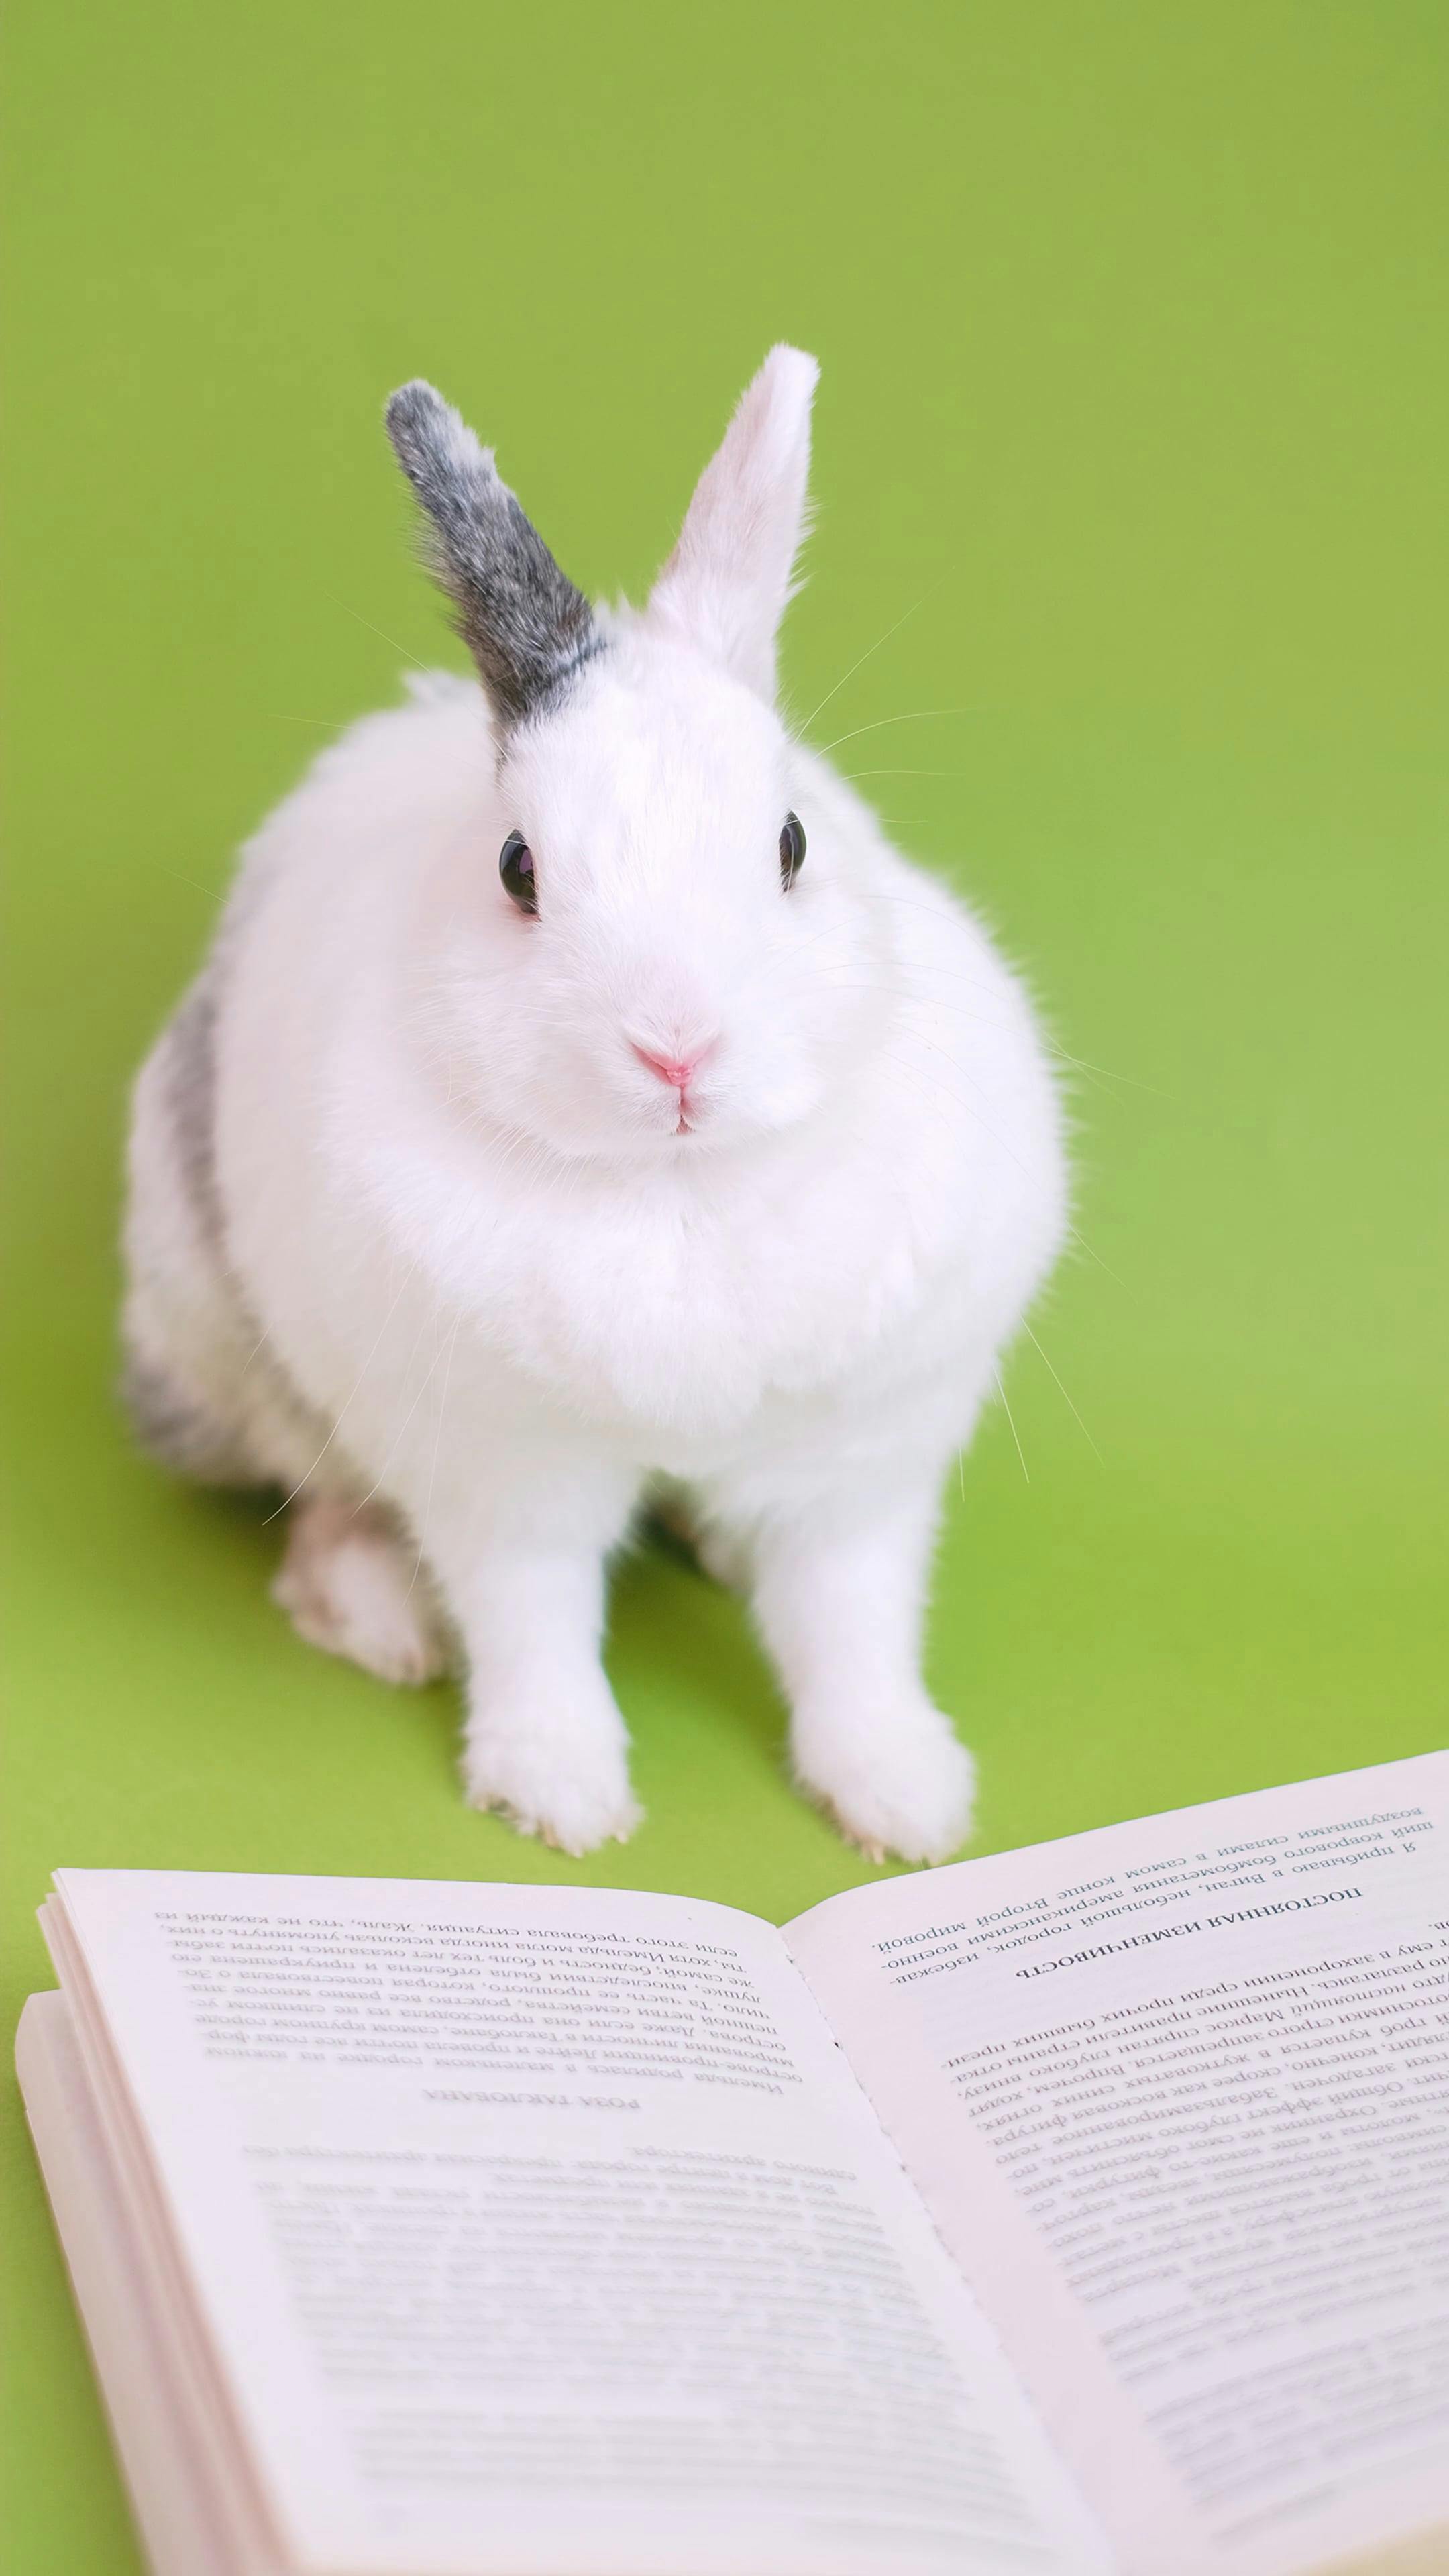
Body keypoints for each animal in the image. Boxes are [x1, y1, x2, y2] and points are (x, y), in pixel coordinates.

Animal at [122, 346, 1066, 1863]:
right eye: (519, 869)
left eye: (794, 841)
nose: (677, 1050)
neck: (678, 1186)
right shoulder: (503, 1473)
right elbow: (534, 1628)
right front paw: (560, 1797)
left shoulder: (855, 1472)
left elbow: (851, 1633)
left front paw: (906, 1805)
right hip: (225, 1338)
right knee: (316, 1500)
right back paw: (385, 1621)